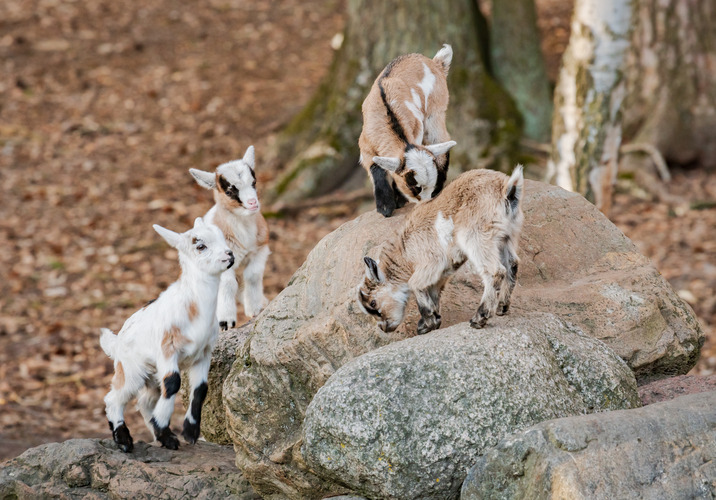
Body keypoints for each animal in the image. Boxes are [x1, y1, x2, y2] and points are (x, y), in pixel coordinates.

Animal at [100, 217, 234, 452]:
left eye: (222, 237)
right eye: (200, 246)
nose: (230, 255)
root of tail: (115, 343)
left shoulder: (204, 353)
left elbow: (201, 389)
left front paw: (189, 432)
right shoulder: (167, 350)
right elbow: (173, 383)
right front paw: (166, 429)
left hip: (151, 376)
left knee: (145, 401)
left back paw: (162, 436)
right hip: (132, 369)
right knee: (114, 398)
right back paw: (125, 441)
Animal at [189, 145, 270, 330]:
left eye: (254, 182)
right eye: (228, 191)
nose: (253, 203)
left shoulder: (261, 249)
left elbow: (253, 275)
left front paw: (255, 308)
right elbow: (227, 285)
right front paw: (226, 321)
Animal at [357, 166, 524, 335]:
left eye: (373, 303)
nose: (384, 328)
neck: (404, 252)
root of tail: (506, 188)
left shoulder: (430, 263)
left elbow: (414, 284)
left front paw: (428, 323)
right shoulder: (442, 272)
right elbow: (433, 292)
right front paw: (430, 322)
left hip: (476, 236)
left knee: (496, 271)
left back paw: (479, 318)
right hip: (505, 237)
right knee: (512, 264)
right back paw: (502, 307)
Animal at [359, 44, 456, 218]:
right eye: (414, 186)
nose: (427, 202)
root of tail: (435, 63)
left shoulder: (415, 133)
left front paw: (398, 201)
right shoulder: (365, 146)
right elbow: (376, 168)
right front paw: (385, 207)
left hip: (435, 112)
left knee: (441, 140)